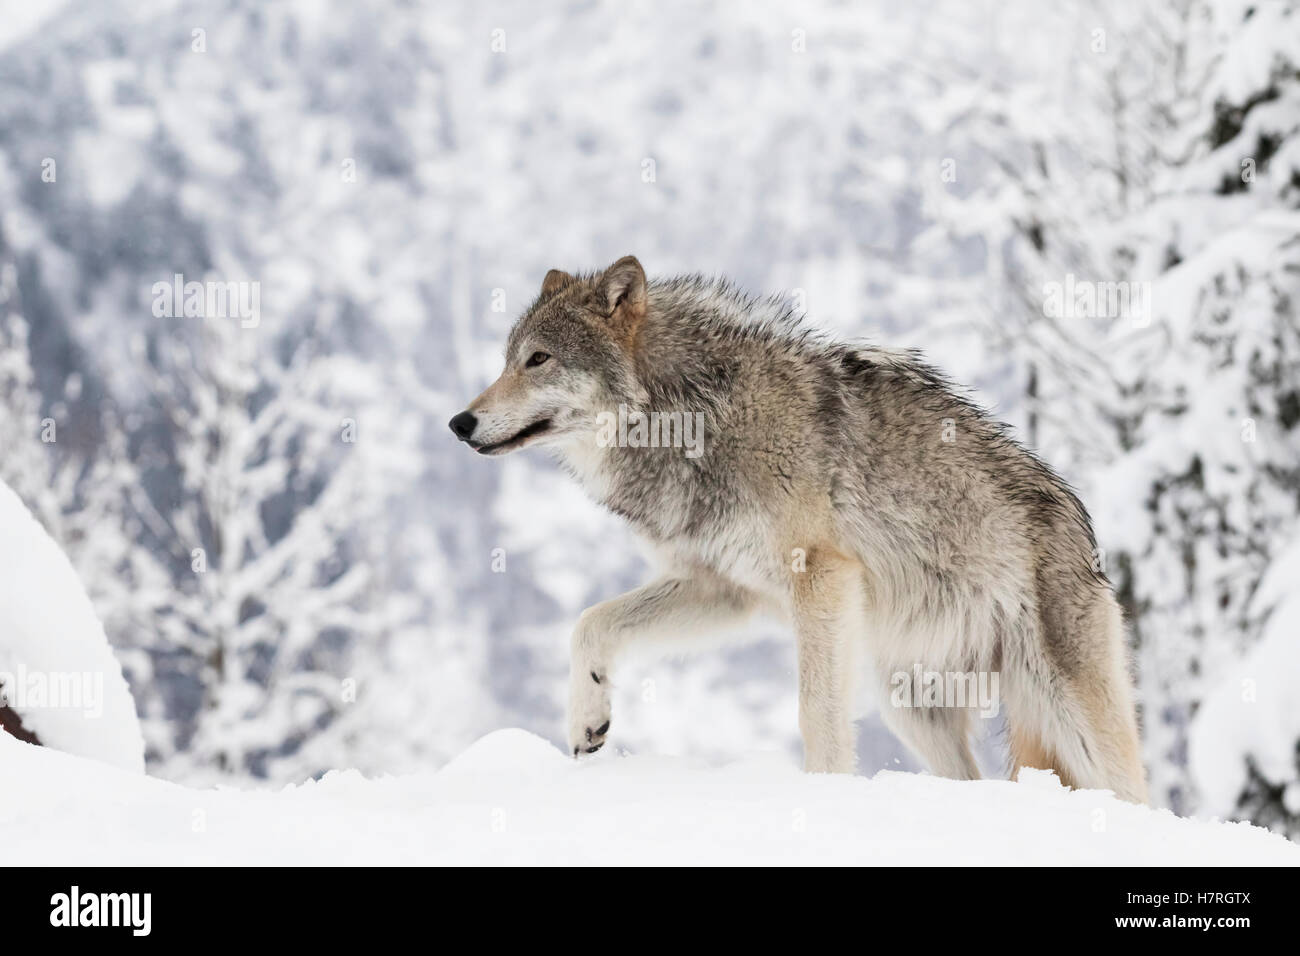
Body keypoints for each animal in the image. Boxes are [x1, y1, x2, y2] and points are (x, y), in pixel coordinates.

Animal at [450, 256, 1148, 803]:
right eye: (508, 360)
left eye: (538, 359)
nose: (459, 422)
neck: (691, 415)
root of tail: (1082, 528)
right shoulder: (722, 588)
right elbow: (589, 623)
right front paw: (586, 719)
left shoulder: (819, 576)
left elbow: (817, 713)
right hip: (911, 703)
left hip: (1068, 716)